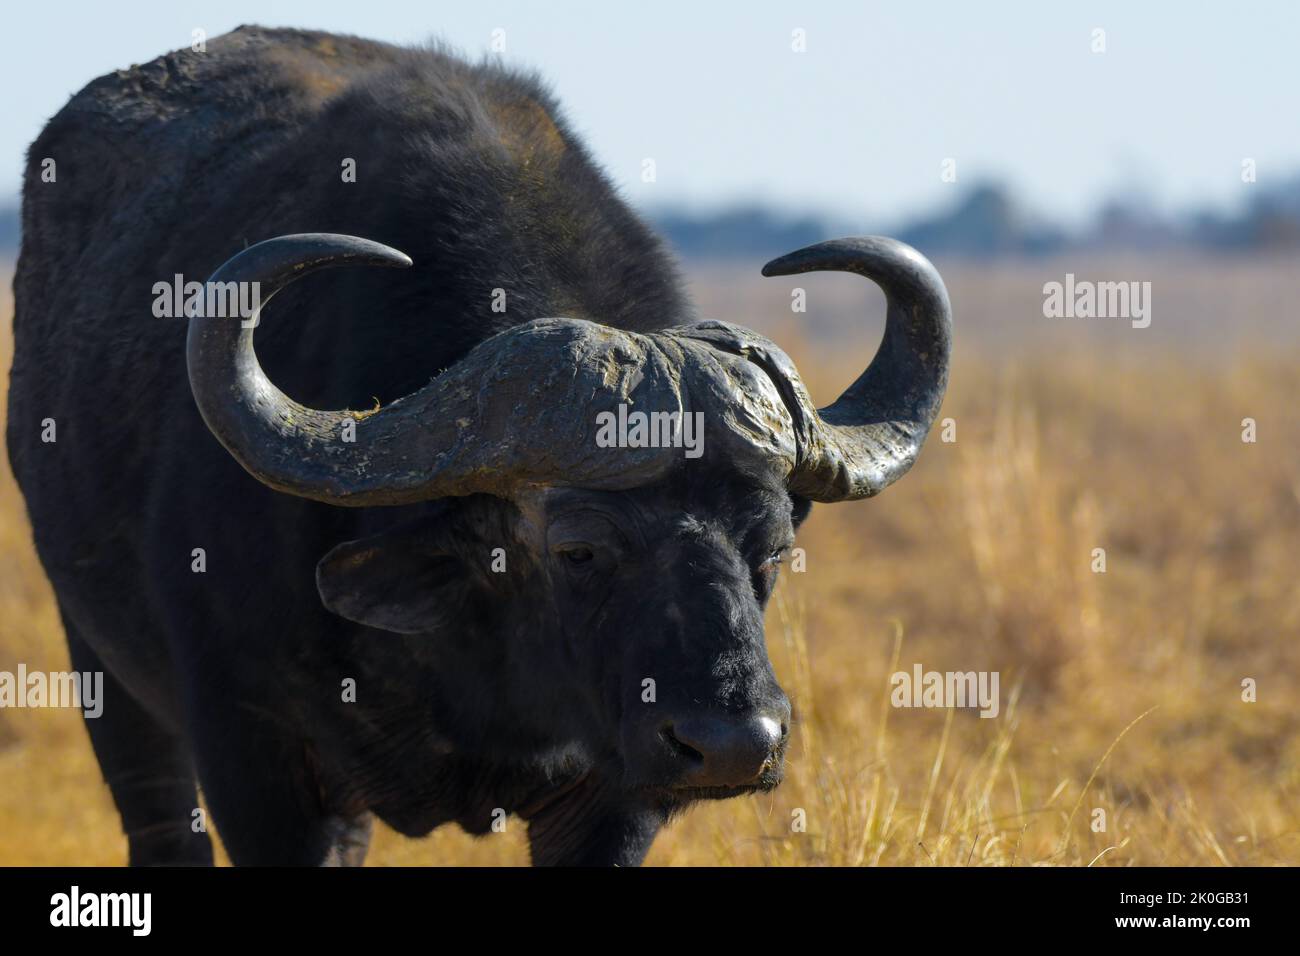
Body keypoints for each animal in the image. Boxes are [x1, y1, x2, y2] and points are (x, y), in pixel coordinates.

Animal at [5, 26, 950, 866]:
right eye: (579, 549)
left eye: (774, 548)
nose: (731, 743)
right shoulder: (257, 762)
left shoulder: (615, 797)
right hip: (102, 670)